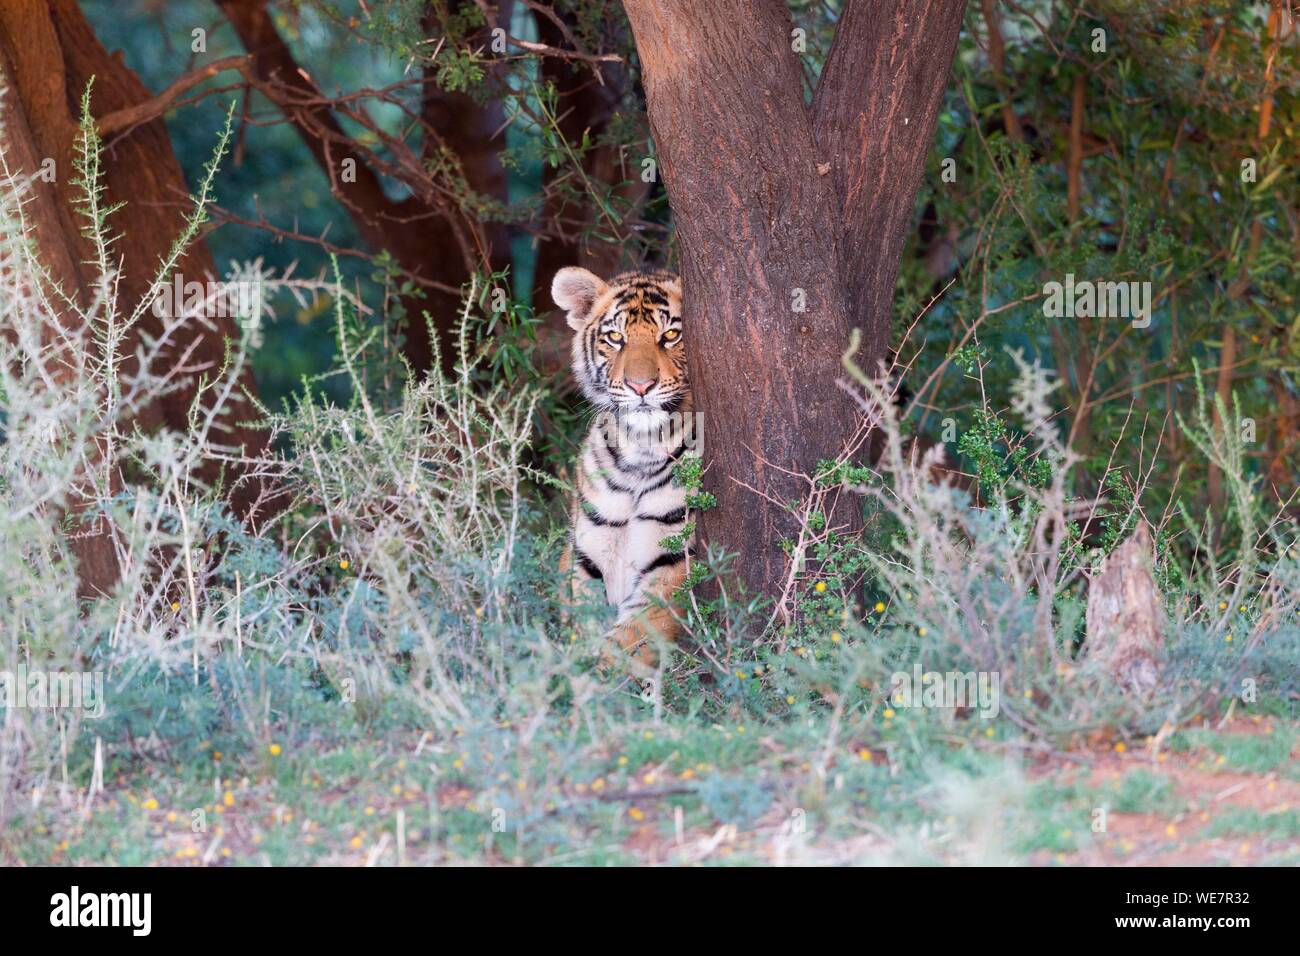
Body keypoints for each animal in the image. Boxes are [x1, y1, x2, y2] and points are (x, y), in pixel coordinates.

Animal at [551, 266, 695, 674]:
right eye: (616, 338)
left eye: (672, 335)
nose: (640, 386)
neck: (639, 454)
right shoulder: (584, 555)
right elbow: (579, 623)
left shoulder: (674, 560)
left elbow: (626, 642)